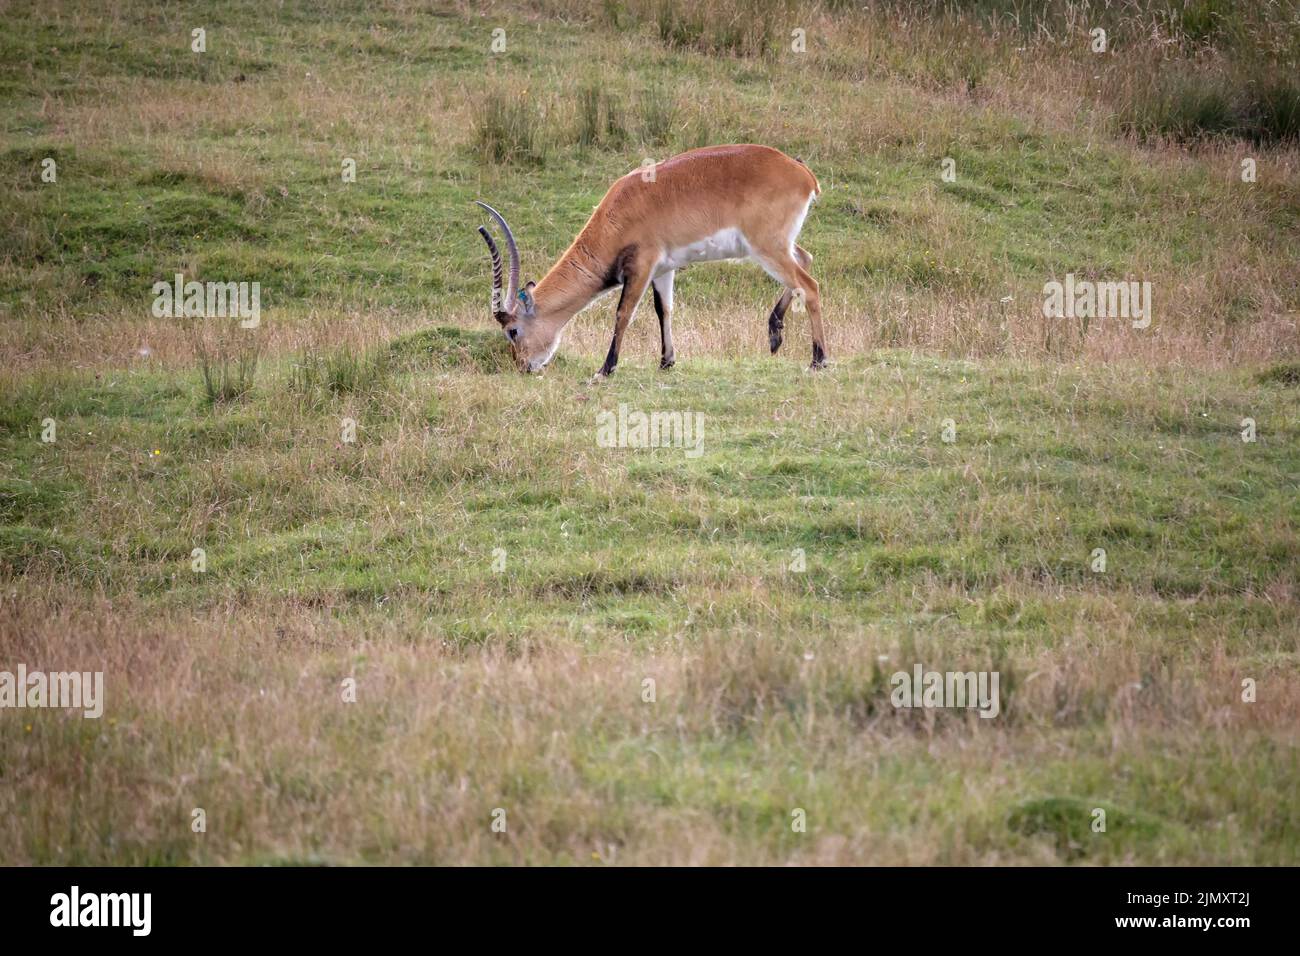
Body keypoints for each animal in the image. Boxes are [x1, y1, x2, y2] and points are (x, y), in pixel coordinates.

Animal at [475, 144, 825, 378]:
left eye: (513, 331)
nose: (523, 366)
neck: (619, 213)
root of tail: (801, 172)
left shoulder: (641, 266)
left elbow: (623, 314)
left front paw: (605, 369)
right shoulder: (663, 269)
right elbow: (663, 310)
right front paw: (666, 361)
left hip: (767, 248)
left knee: (809, 285)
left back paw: (817, 360)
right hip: (778, 247)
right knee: (806, 259)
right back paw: (775, 334)